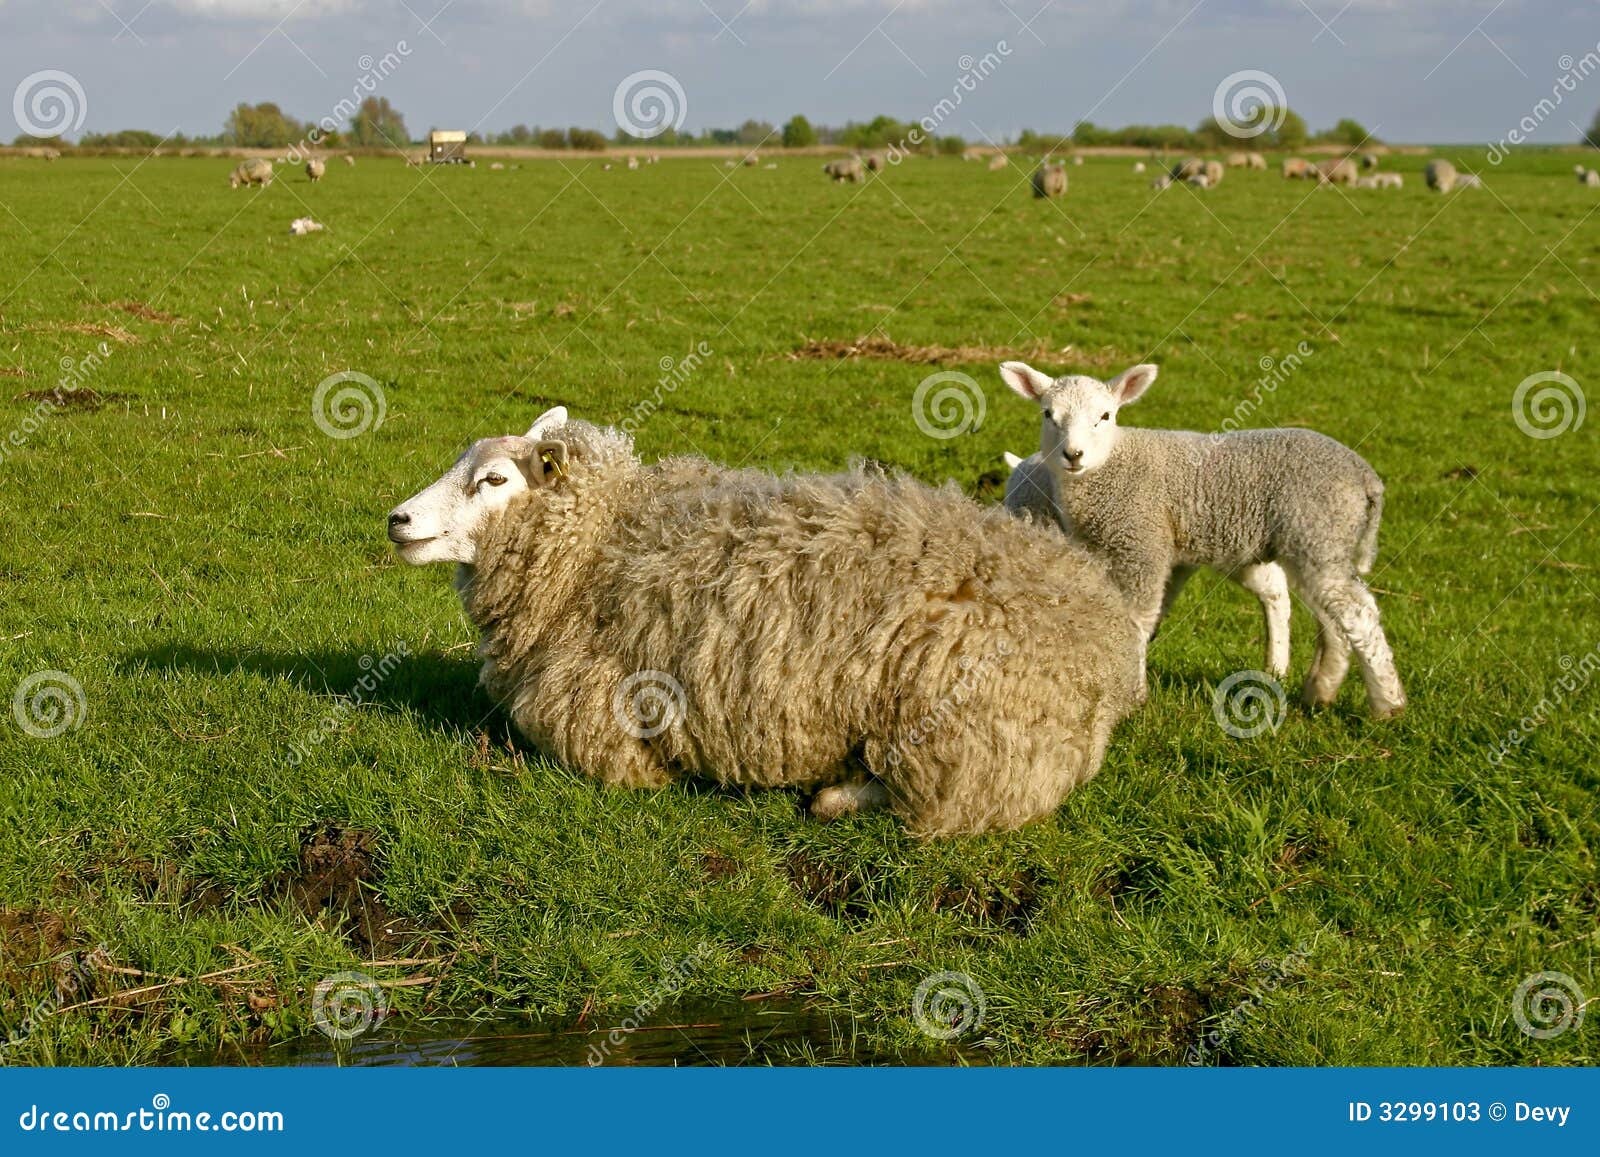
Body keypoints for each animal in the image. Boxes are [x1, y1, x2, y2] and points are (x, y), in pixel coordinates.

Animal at [385, 407, 1143, 836]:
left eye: (493, 481)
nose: (398, 519)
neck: (599, 543)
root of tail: (1105, 645)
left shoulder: (603, 717)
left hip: (963, 732)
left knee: (944, 804)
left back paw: (836, 794)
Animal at [997, 361, 1405, 719]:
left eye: (1106, 416)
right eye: (1048, 414)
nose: (1073, 454)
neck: (1111, 466)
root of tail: (1364, 476)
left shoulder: (1141, 543)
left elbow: (1137, 620)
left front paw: (1132, 698)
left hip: (1317, 533)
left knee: (1357, 612)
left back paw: (1387, 704)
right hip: (1299, 546)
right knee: (1327, 613)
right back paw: (1319, 690)